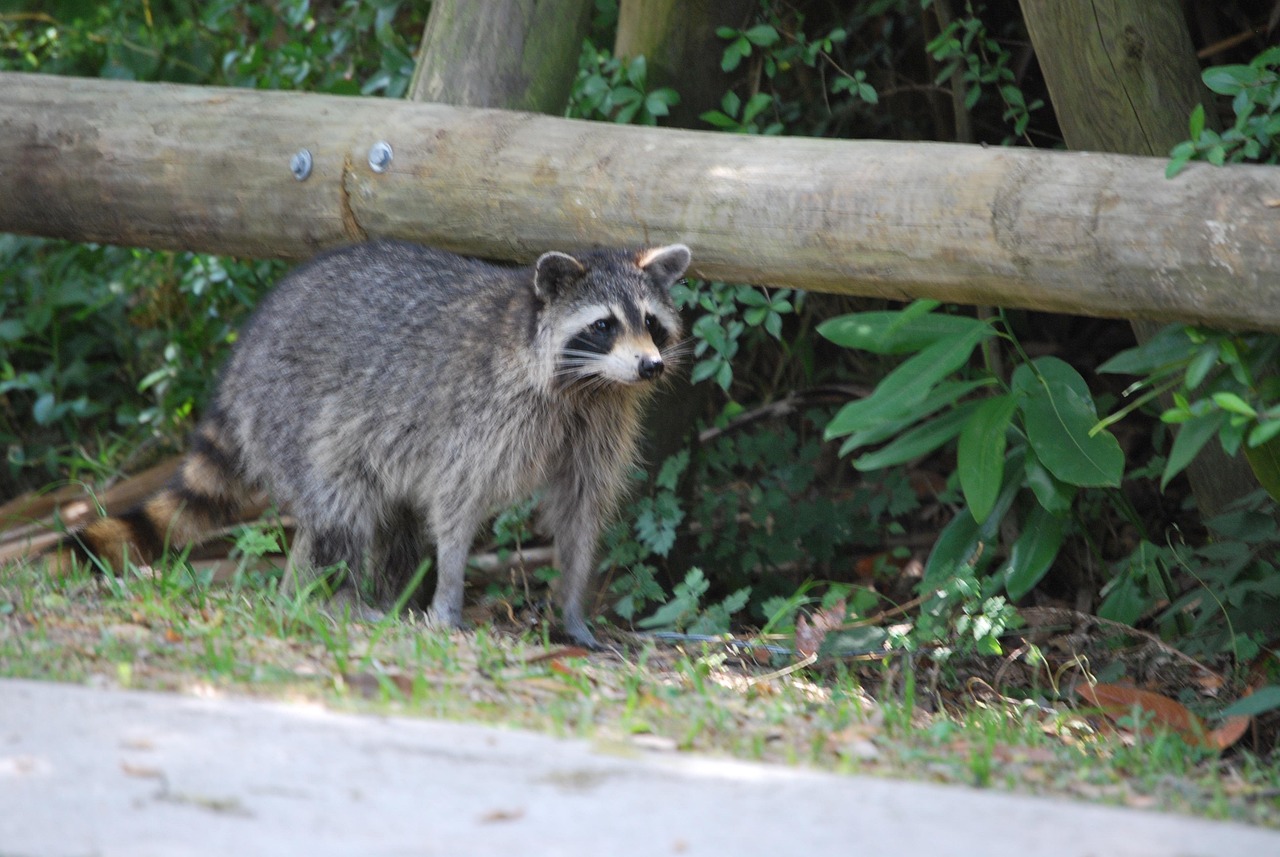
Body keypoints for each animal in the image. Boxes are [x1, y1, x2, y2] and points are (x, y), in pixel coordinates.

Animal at [54, 239, 692, 648]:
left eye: (651, 322)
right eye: (604, 325)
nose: (651, 367)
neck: (588, 384)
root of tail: (242, 357)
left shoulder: (598, 424)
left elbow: (581, 510)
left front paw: (573, 605)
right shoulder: (483, 415)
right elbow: (456, 503)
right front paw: (449, 595)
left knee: (391, 521)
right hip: (294, 410)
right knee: (341, 502)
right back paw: (331, 593)